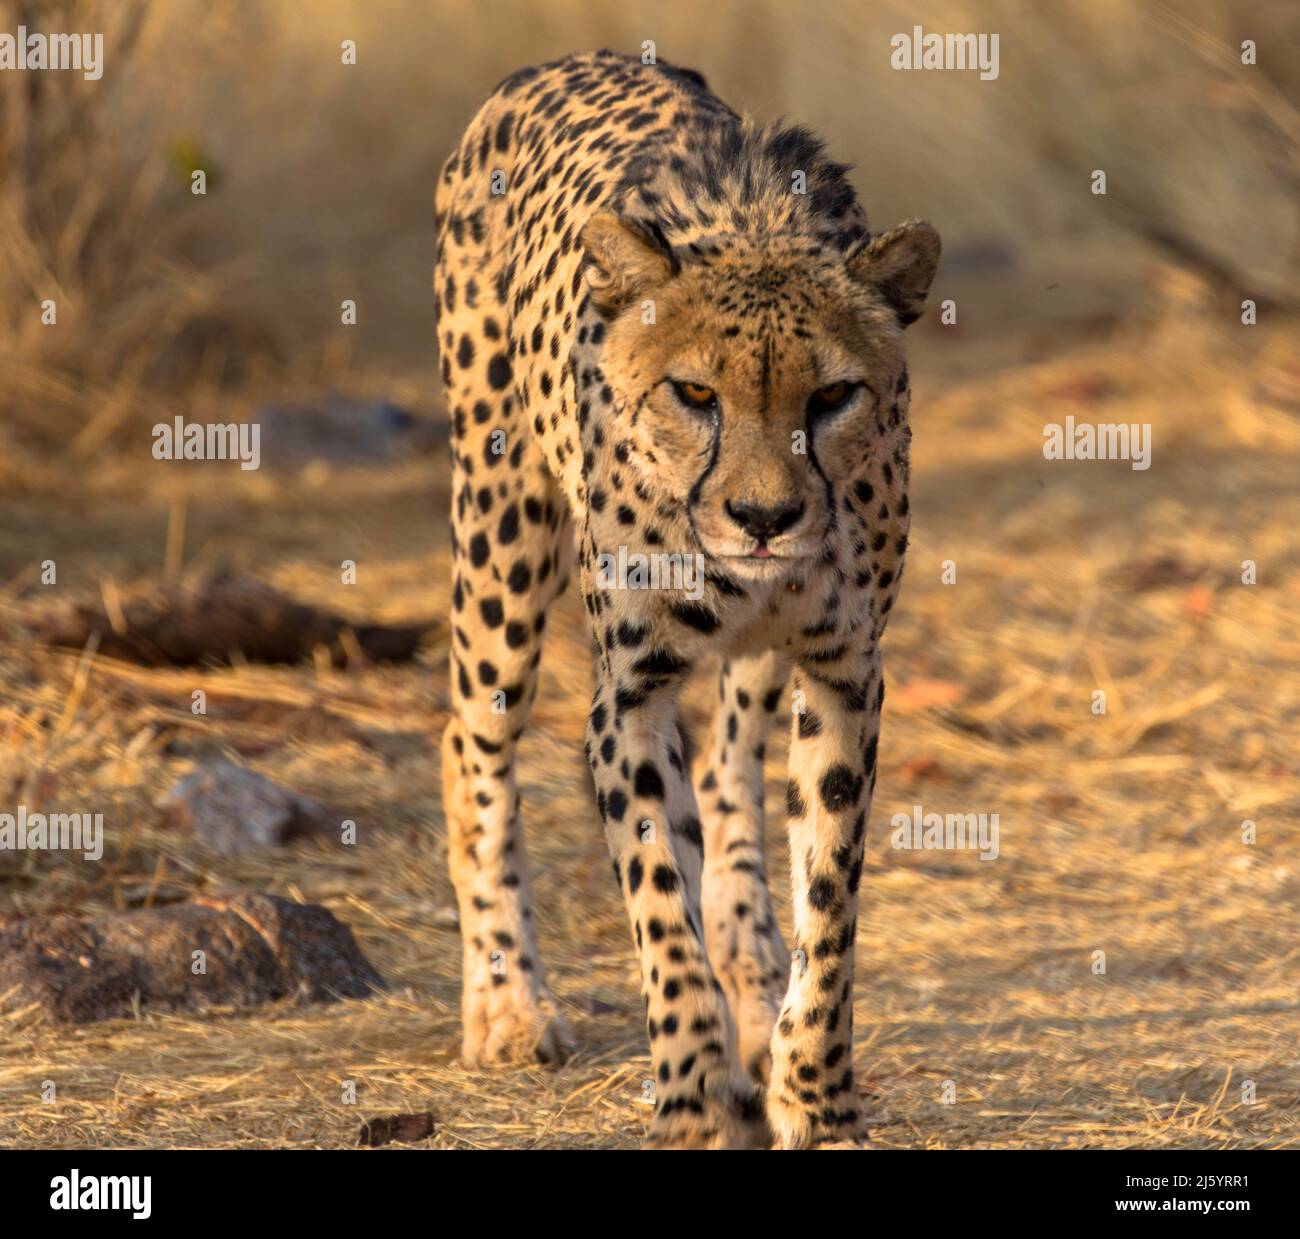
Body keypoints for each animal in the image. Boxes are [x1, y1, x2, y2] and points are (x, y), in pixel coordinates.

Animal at [434, 48, 939, 1149]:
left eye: (831, 397)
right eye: (694, 395)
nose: (763, 516)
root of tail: (552, 64)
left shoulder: (844, 671)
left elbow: (828, 900)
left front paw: (813, 1097)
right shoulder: (630, 691)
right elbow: (661, 904)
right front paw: (697, 1094)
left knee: (729, 766)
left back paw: (750, 966)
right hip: (499, 520)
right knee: (469, 740)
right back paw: (508, 1002)